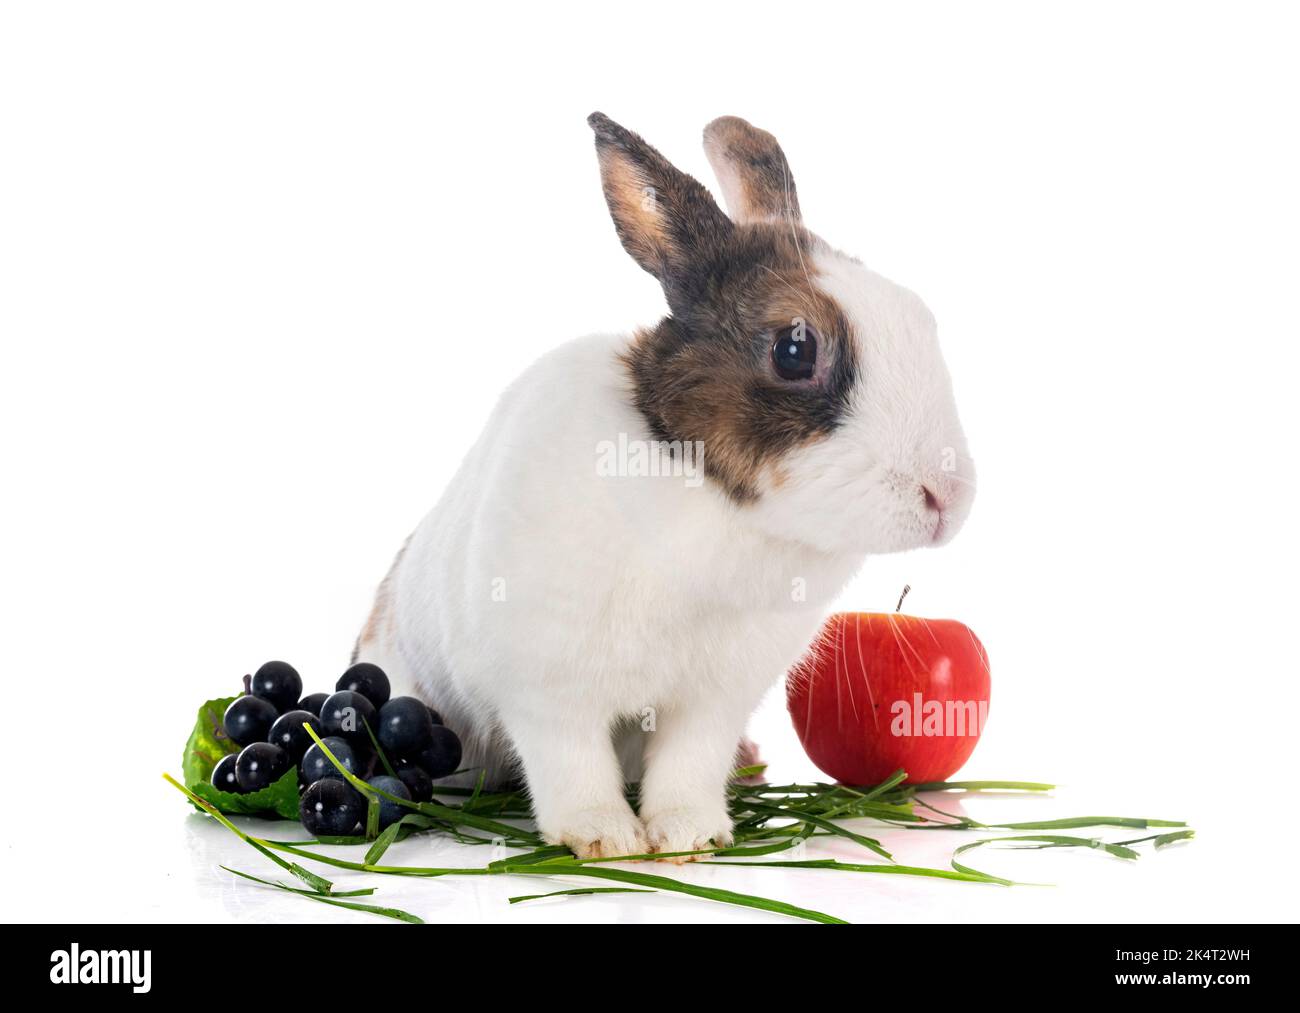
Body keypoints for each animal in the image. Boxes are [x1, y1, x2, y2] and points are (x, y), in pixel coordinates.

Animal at [353, 112, 975, 860]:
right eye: (795, 349)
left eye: (922, 317)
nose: (949, 498)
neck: (705, 497)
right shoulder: (548, 690)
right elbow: (572, 764)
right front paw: (605, 839)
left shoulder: (713, 701)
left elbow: (688, 765)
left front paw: (687, 836)